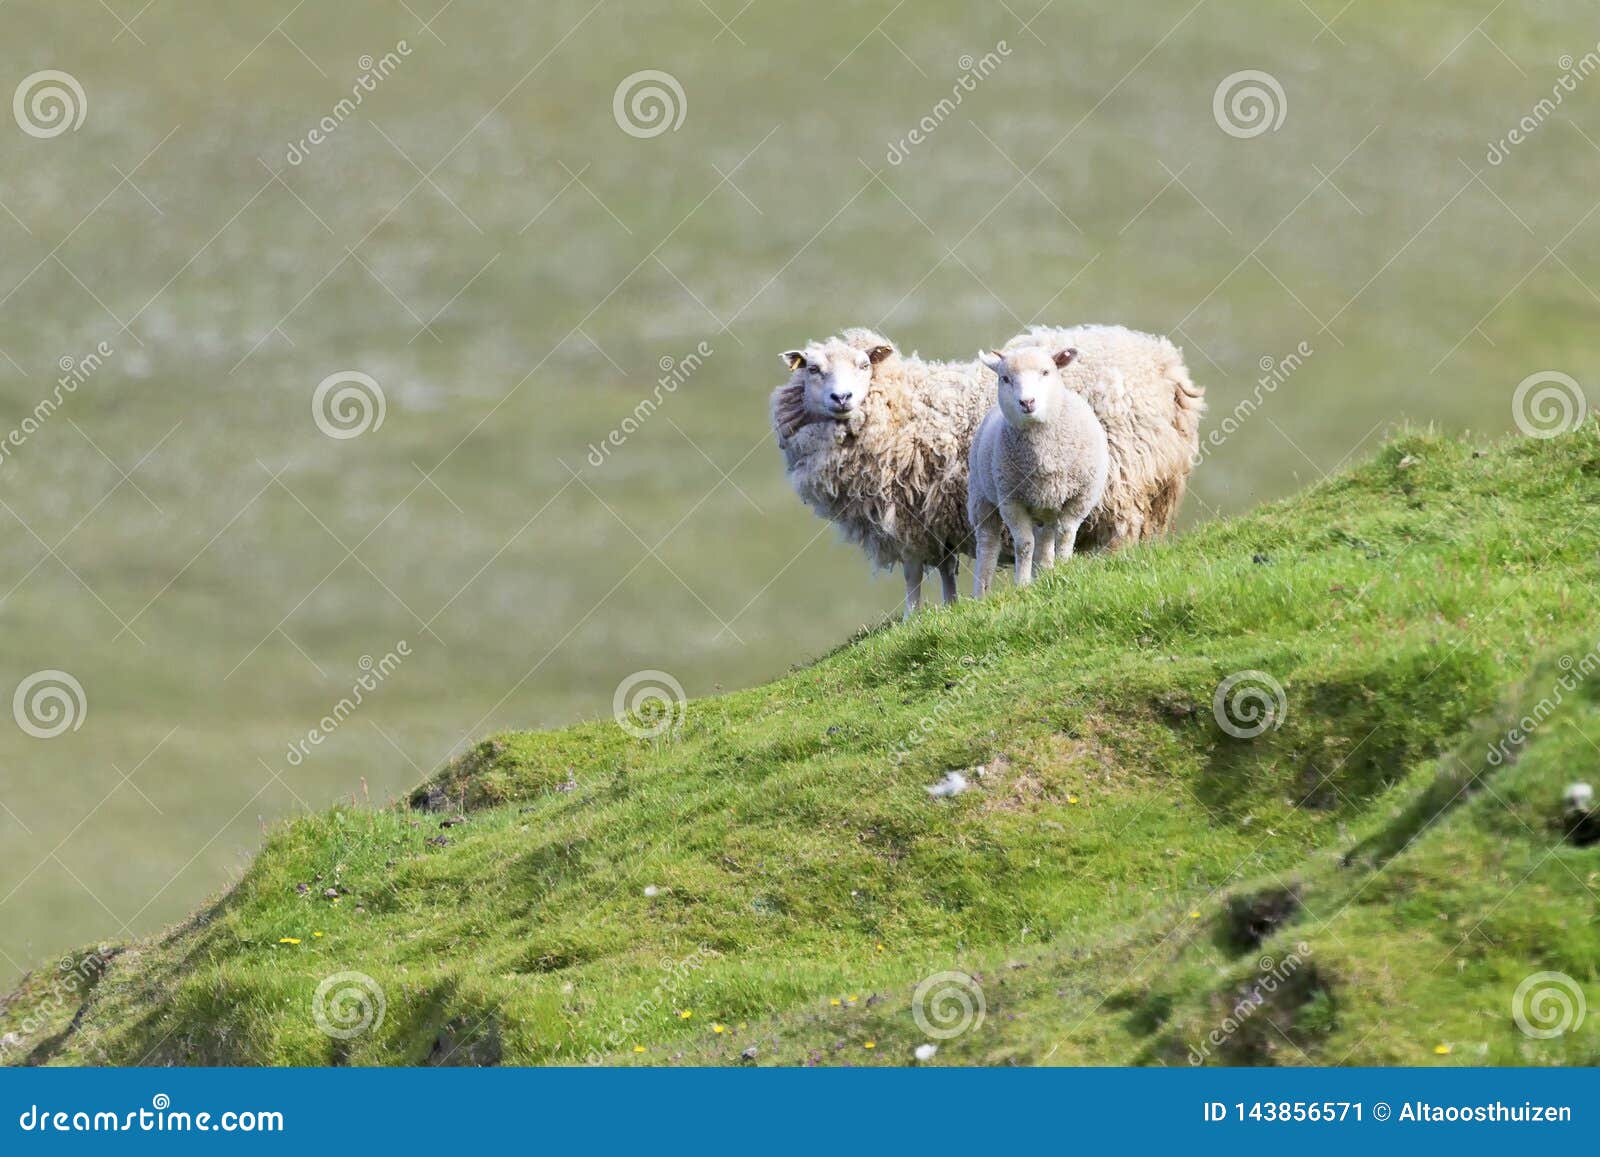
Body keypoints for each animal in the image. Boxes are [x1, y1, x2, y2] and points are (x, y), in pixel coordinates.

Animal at [771, 329, 997, 618]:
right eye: (813, 369)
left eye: (864, 365)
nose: (841, 397)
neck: (906, 405)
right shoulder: (938, 515)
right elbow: (946, 566)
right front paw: (950, 605)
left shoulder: (908, 515)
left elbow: (912, 572)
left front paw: (911, 616)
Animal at [969, 346, 1110, 595]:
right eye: (1005, 378)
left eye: (1046, 372)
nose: (1027, 402)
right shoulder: (1011, 502)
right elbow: (1025, 545)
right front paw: (1023, 584)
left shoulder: (1081, 497)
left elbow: (1066, 534)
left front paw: (1064, 566)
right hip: (982, 497)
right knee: (988, 546)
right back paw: (981, 594)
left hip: (1046, 506)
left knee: (1046, 538)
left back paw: (1046, 570)